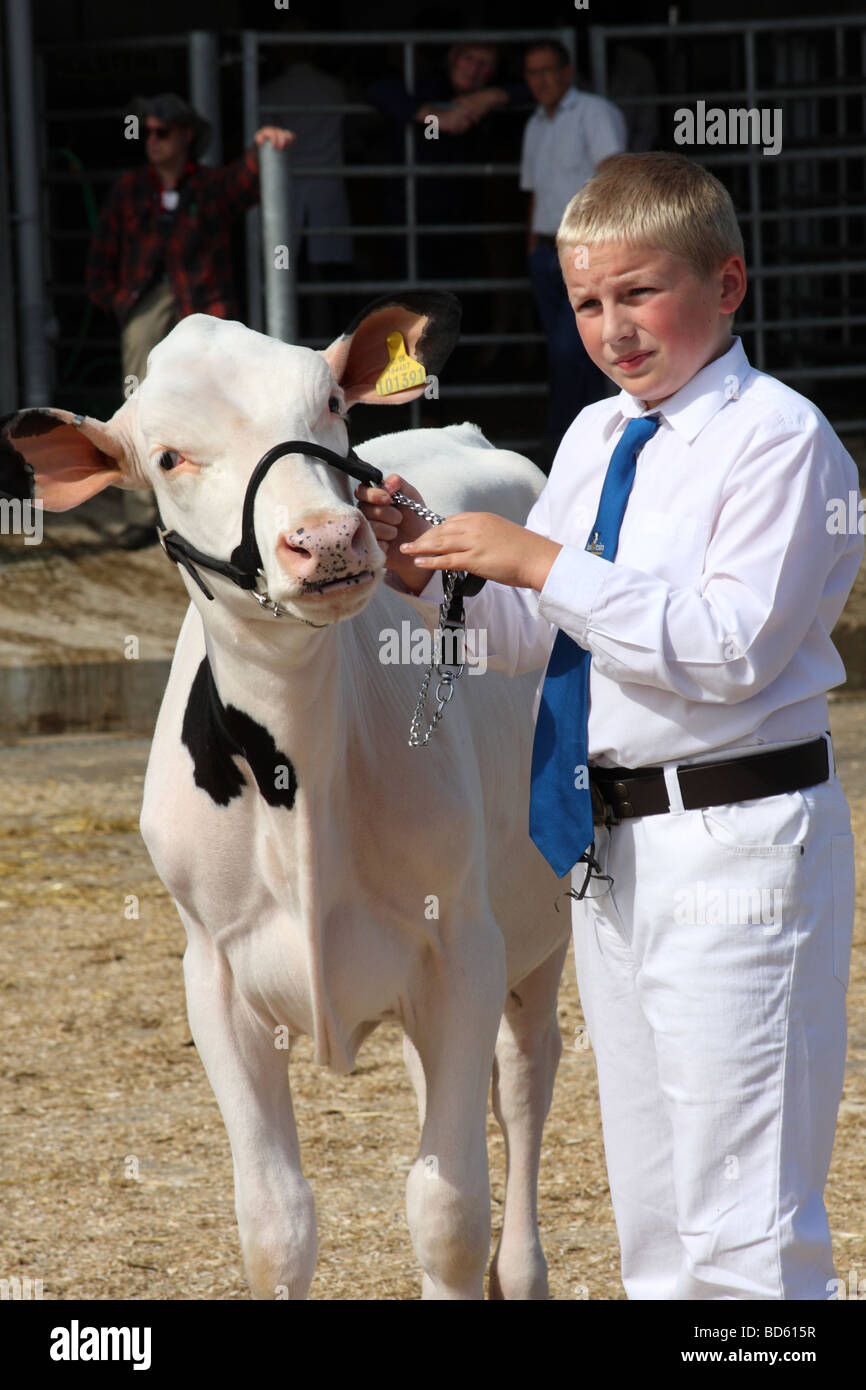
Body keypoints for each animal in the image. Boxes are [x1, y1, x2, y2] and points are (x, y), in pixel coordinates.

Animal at [0, 294, 570, 1300]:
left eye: (331, 405)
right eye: (167, 457)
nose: (329, 539)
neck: (299, 783)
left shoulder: (463, 944)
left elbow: (448, 1216)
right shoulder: (216, 977)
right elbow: (276, 1224)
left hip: (535, 932)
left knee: (521, 1081)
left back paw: (524, 1267)